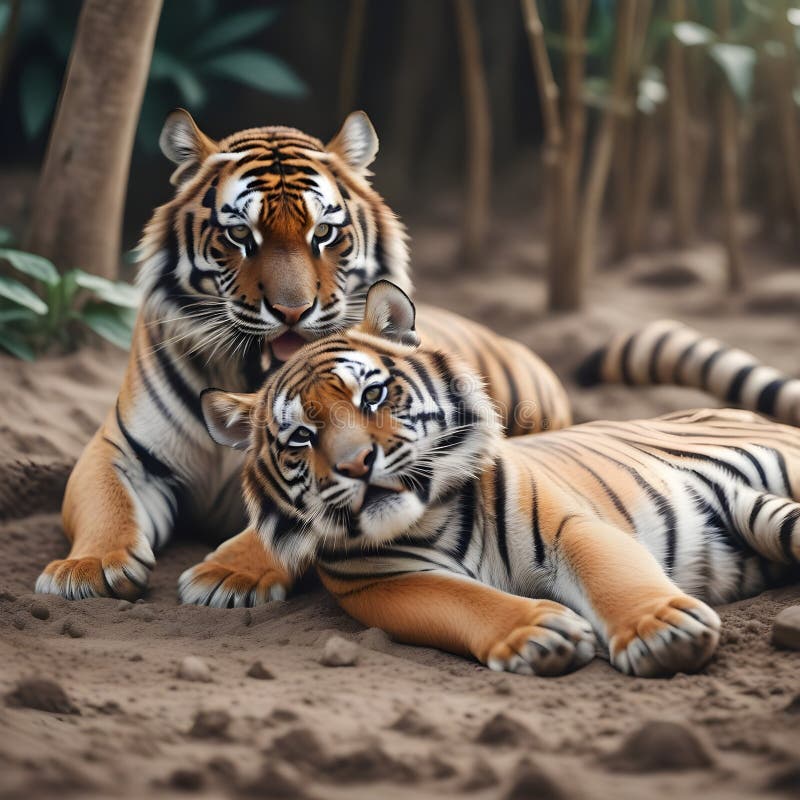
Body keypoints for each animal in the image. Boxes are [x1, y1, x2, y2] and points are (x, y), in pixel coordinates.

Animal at [35, 110, 571, 604]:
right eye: (239, 235)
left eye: (325, 233)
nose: (292, 310)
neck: (250, 375)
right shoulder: (119, 449)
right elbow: (107, 503)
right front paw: (87, 567)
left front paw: (225, 575)